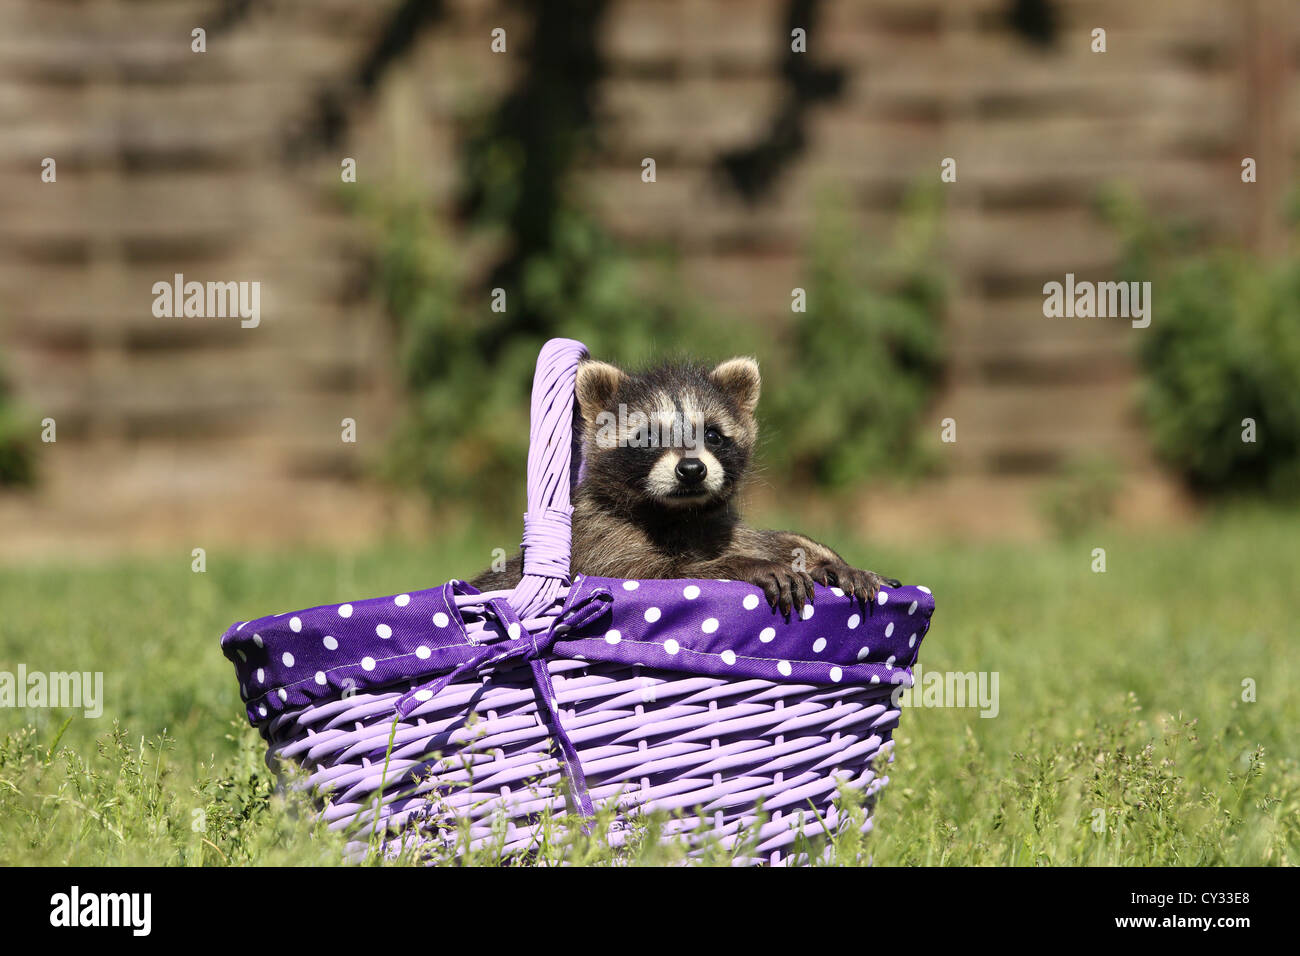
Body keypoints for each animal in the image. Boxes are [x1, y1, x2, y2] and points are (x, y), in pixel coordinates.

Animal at [472, 356, 899, 618]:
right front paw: (743, 565)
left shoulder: (716, 524)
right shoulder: (597, 538)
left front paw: (824, 559)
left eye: (711, 434)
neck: (678, 512)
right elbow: (652, 573)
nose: (692, 470)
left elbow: (762, 539)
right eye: (646, 436)